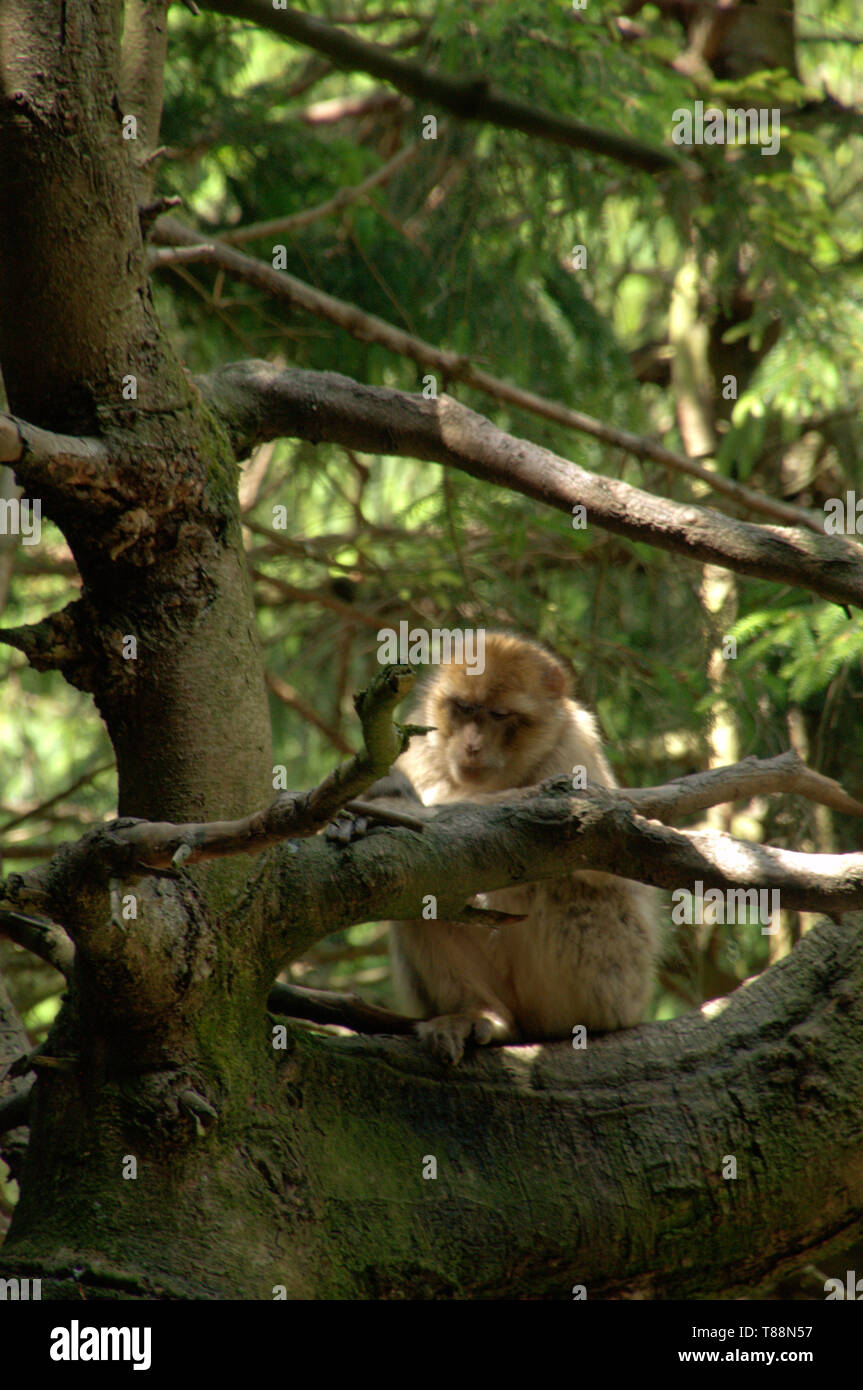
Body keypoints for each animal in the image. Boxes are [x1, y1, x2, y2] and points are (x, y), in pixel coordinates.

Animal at [382, 632, 660, 1063]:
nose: (472, 746)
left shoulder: (573, 746)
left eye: (499, 716)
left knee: (565, 883)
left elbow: (603, 854)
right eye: (464, 708)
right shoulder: (422, 746)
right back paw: (481, 1014)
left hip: (610, 980)